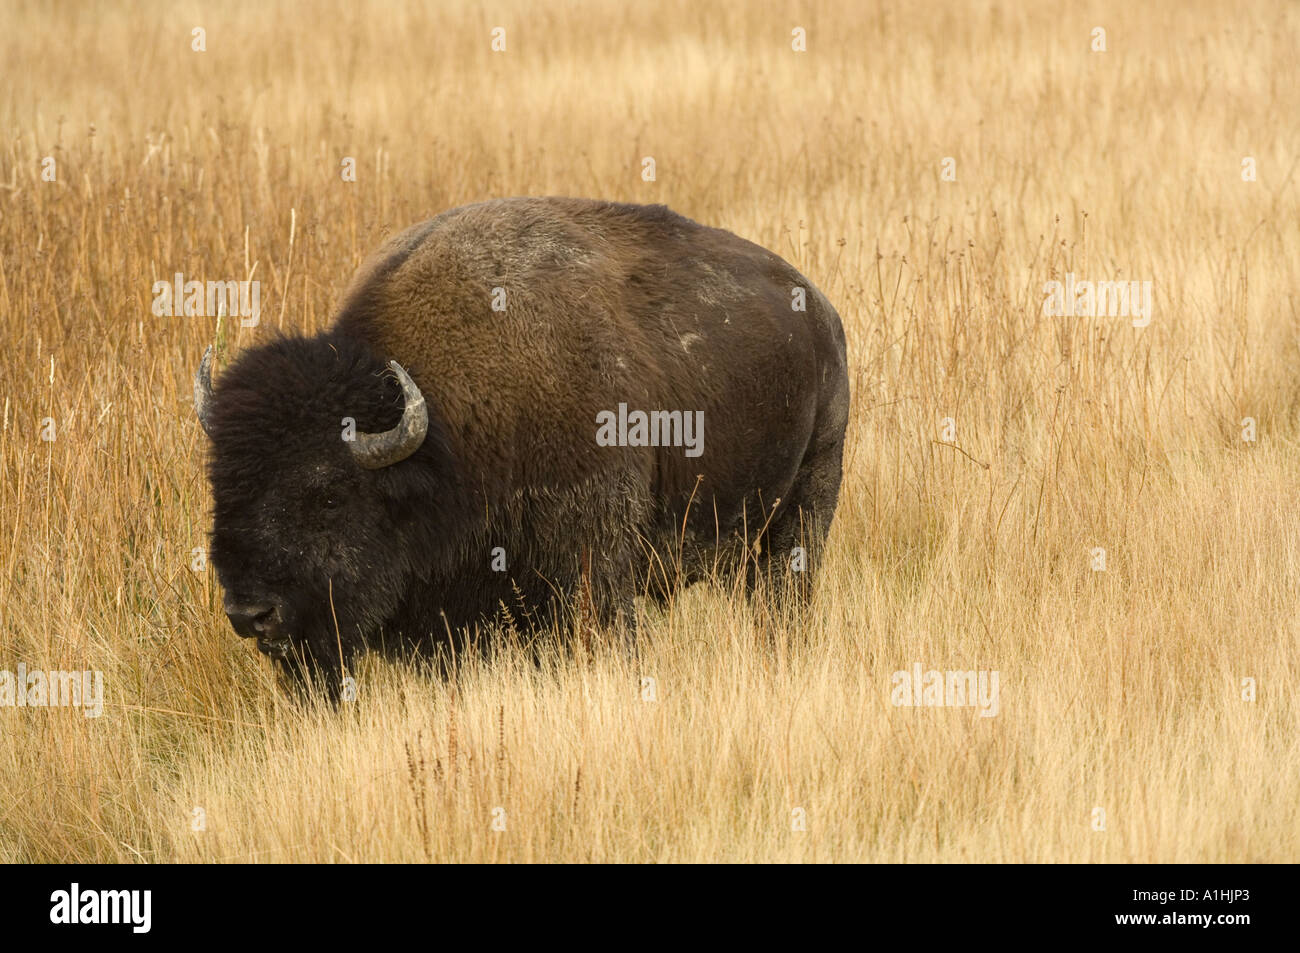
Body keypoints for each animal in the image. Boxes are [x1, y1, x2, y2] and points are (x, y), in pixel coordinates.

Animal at [195, 197, 849, 694]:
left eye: (329, 496)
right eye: (220, 486)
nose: (251, 614)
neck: (443, 437)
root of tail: (819, 309)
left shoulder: (592, 568)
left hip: (806, 506)